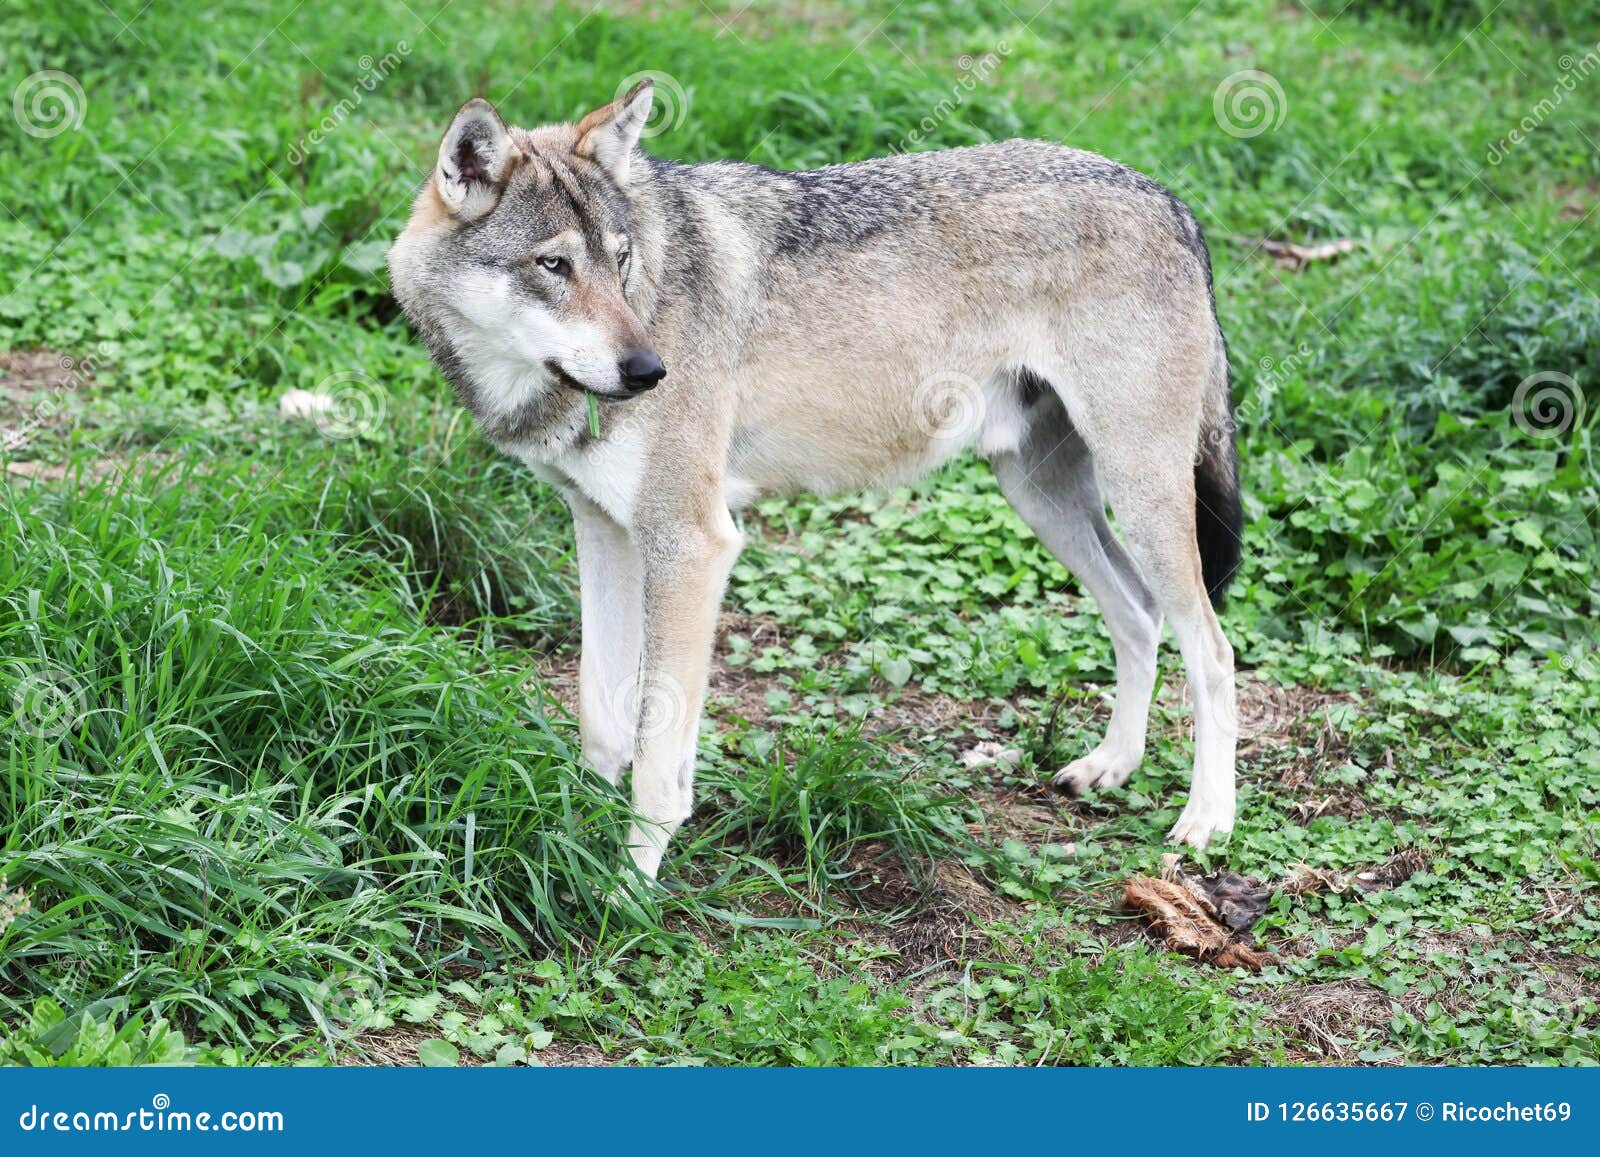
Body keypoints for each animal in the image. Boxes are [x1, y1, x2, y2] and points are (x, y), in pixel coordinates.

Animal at [389, 79, 1244, 882]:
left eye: (620, 259)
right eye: (554, 264)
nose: (649, 369)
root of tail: (1171, 200)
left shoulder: (693, 544)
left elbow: (658, 765)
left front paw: (629, 889)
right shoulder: (604, 532)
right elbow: (604, 727)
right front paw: (577, 844)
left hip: (1139, 495)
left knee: (1212, 645)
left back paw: (1207, 821)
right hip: (1043, 497)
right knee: (1138, 615)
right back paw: (1111, 766)